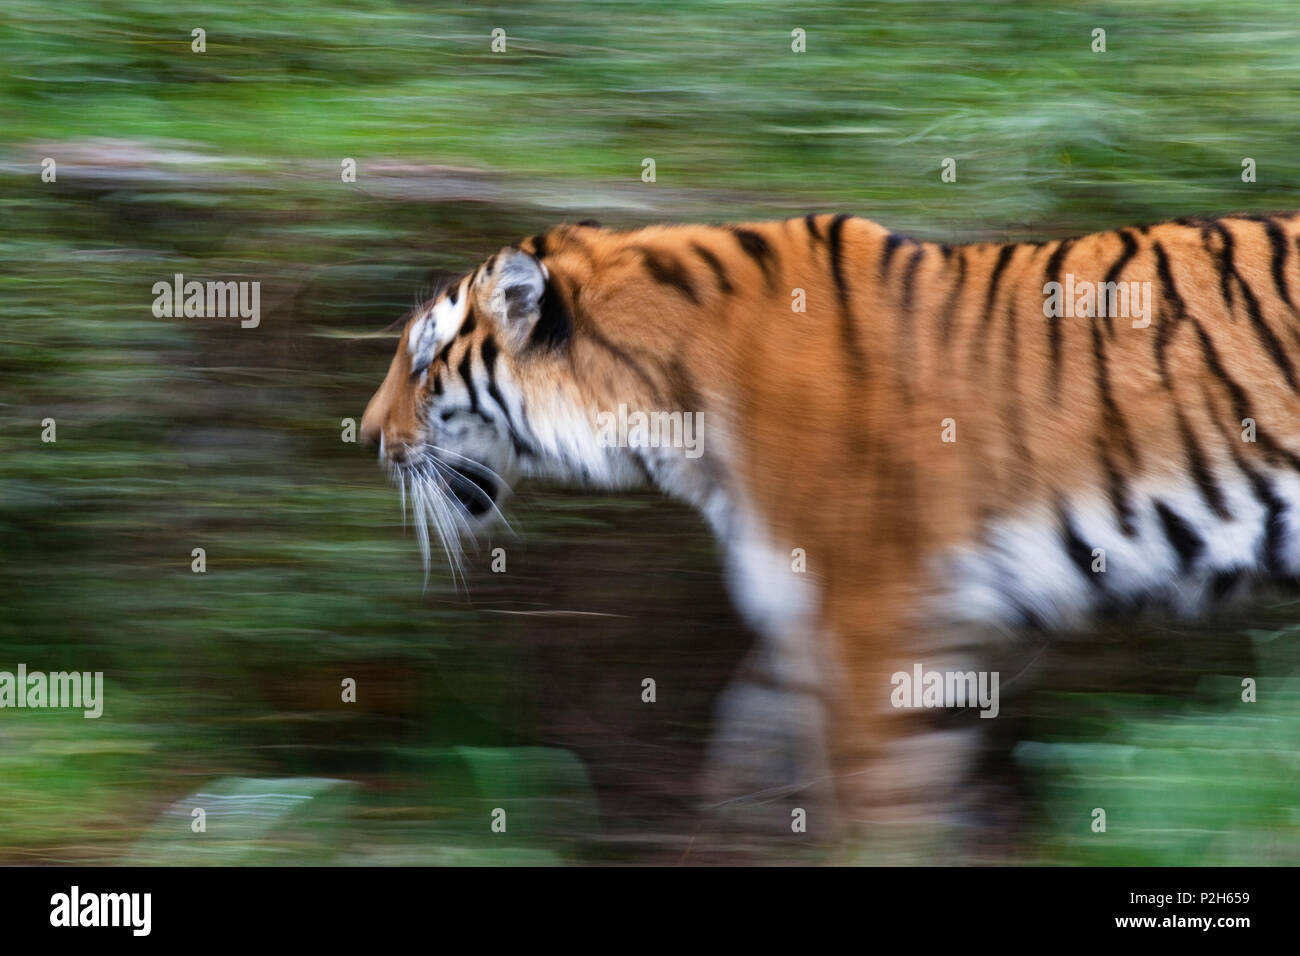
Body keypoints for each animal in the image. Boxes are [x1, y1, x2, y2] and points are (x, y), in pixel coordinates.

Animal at [360, 212, 1300, 841]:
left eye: (421, 360)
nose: (366, 437)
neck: (670, 422)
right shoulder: (869, 629)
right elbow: (750, 743)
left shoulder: (873, 624)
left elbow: (881, 809)